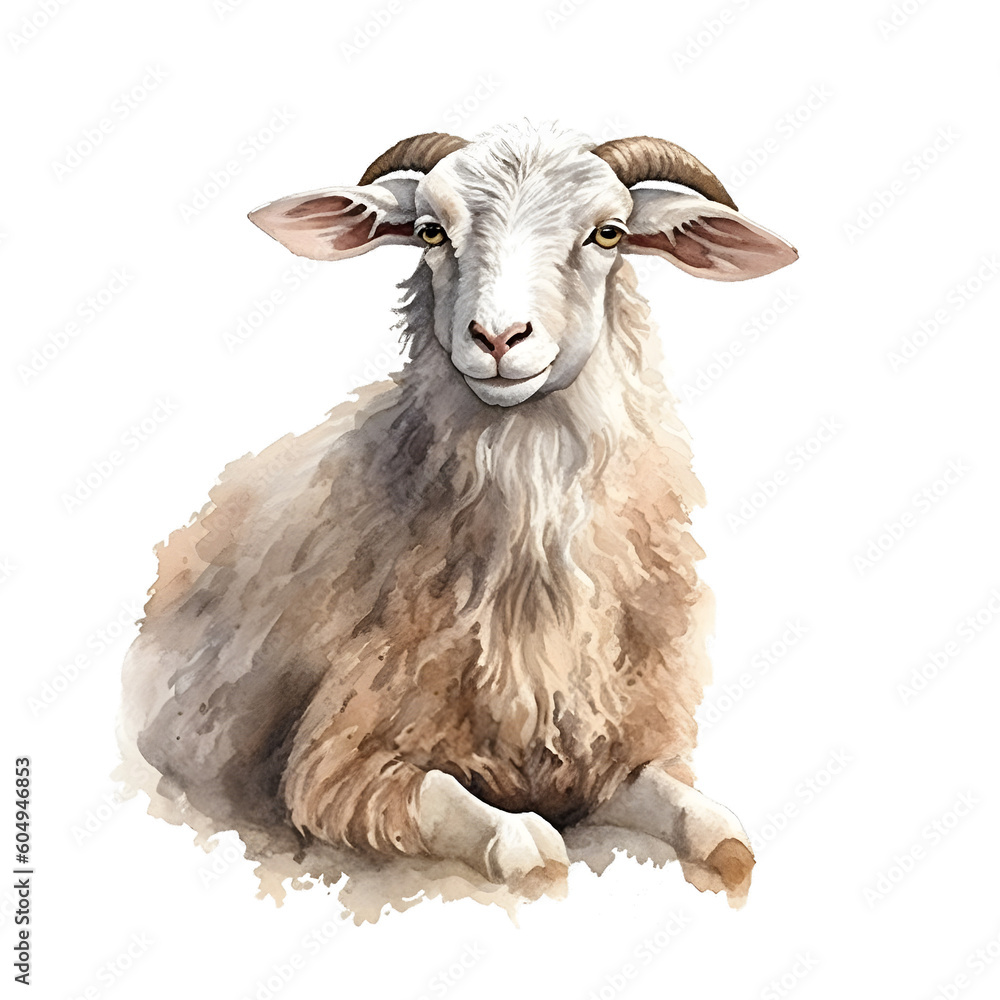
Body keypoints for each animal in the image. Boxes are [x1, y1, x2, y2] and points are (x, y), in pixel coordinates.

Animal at [118, 122, 797, 912]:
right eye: (430, 232)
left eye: (608, 233)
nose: (499, 338)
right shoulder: (335, 763)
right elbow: (525, 848)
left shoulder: (615, 748)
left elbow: (722, 835)